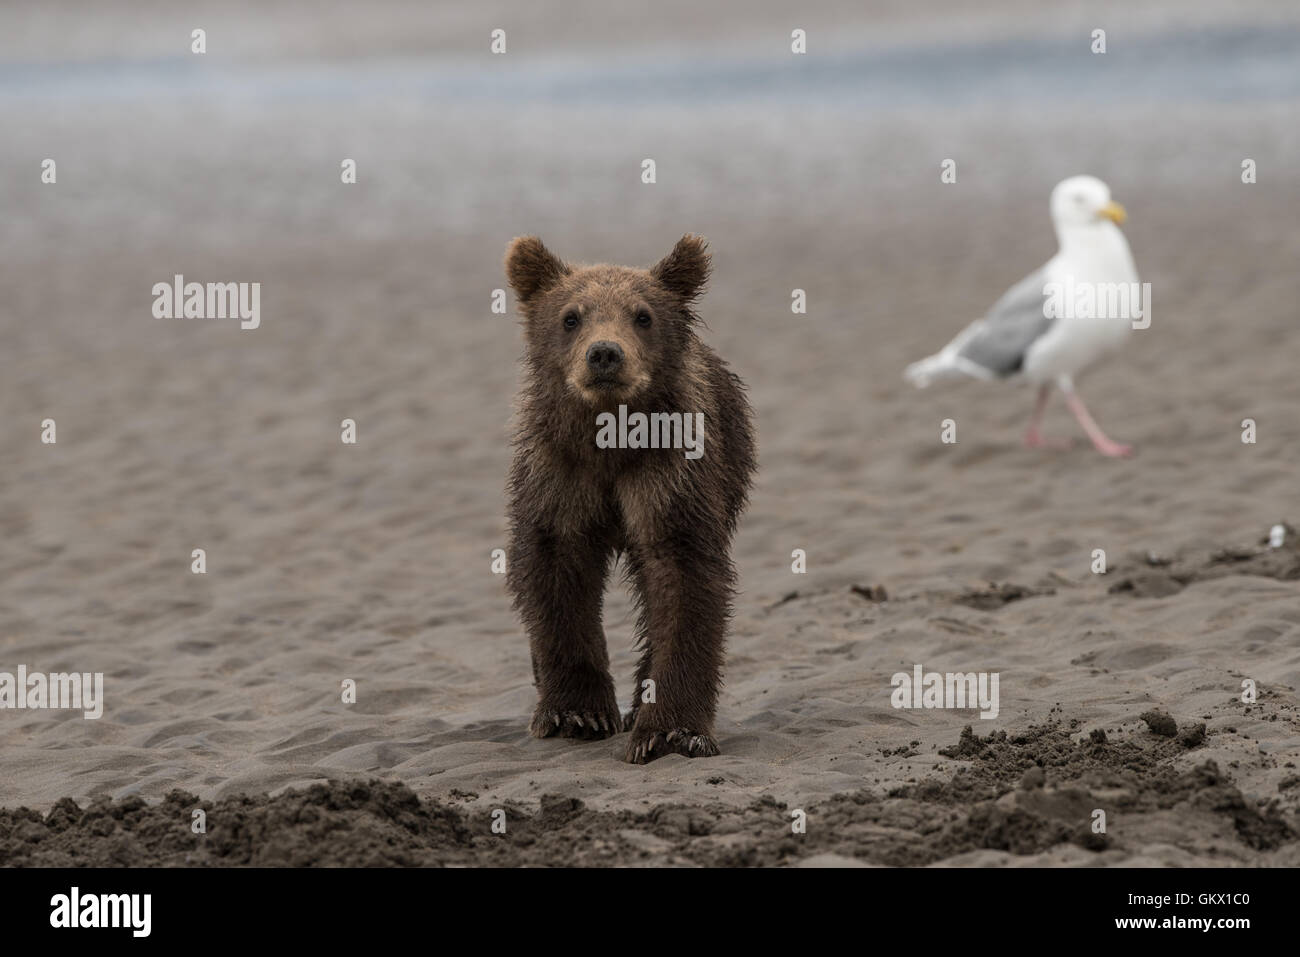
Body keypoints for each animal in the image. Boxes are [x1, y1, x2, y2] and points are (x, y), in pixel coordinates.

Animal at [503, 234, 756, 763]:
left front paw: (670, 731)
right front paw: (576, 713)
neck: (609, 441)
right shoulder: (559, 473)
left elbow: (681, 576)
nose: (604, 354)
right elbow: (555, 569)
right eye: (571, 316)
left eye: (642, 315)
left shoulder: (669, 472)